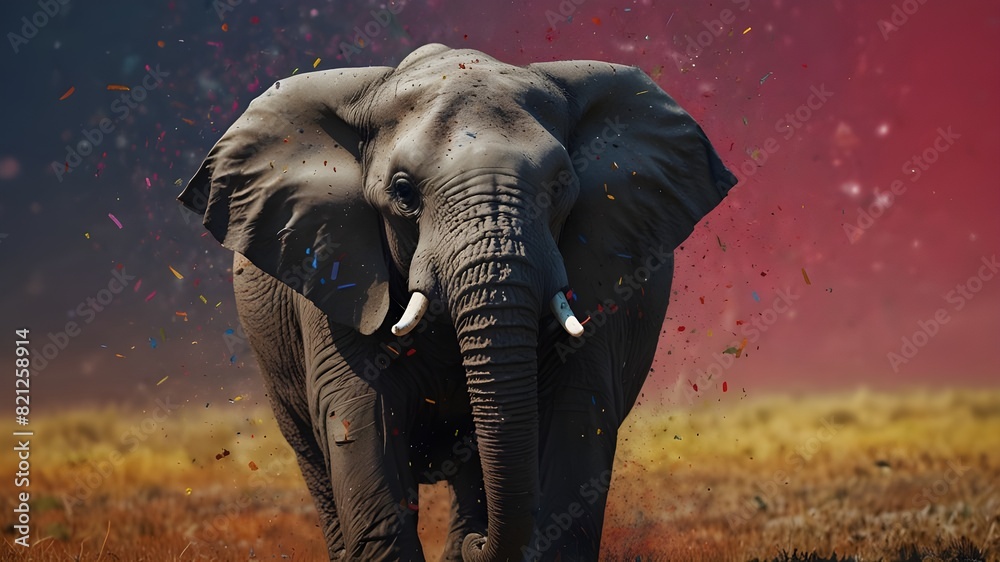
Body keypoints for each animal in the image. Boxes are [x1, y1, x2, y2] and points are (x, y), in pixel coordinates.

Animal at [179, 43, 736, 561]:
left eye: (561, 187)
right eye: (403, 193)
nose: (478, 543)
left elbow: (577, 416)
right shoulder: (333, 271)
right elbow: (361, 421)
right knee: (318, 463)